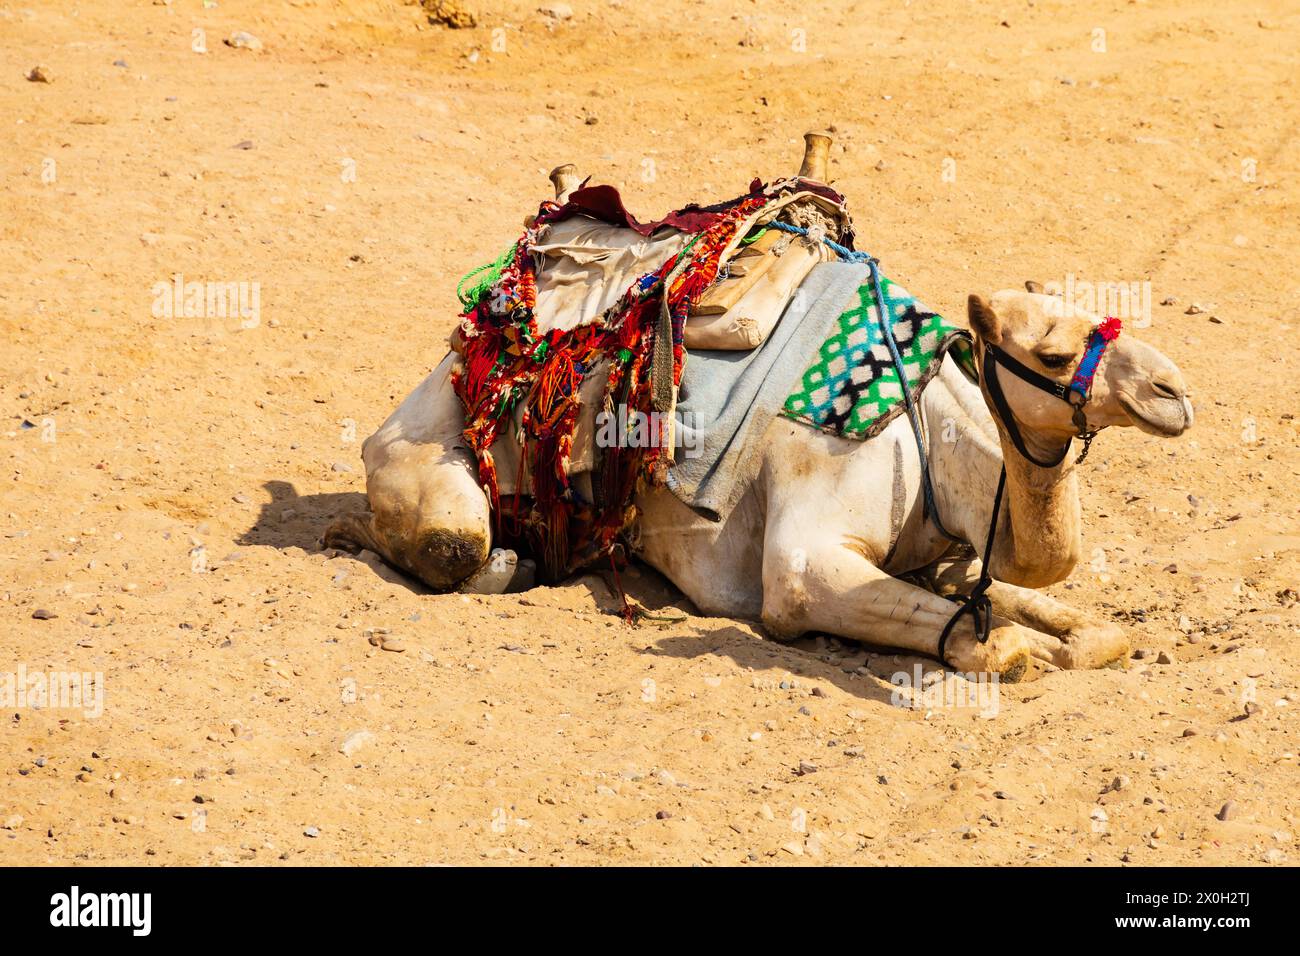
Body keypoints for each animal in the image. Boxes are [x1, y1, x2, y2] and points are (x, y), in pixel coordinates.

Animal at [325, 141, 1193, 681]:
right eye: (1050, 354)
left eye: (1097, 313)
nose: (1173, 391)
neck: (934, 437)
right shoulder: (805, 562)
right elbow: (992, 644)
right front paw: (1010, 649)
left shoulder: (949, 557)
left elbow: (1095, 632)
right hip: (431, 455)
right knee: (450, 544)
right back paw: (376, 536)